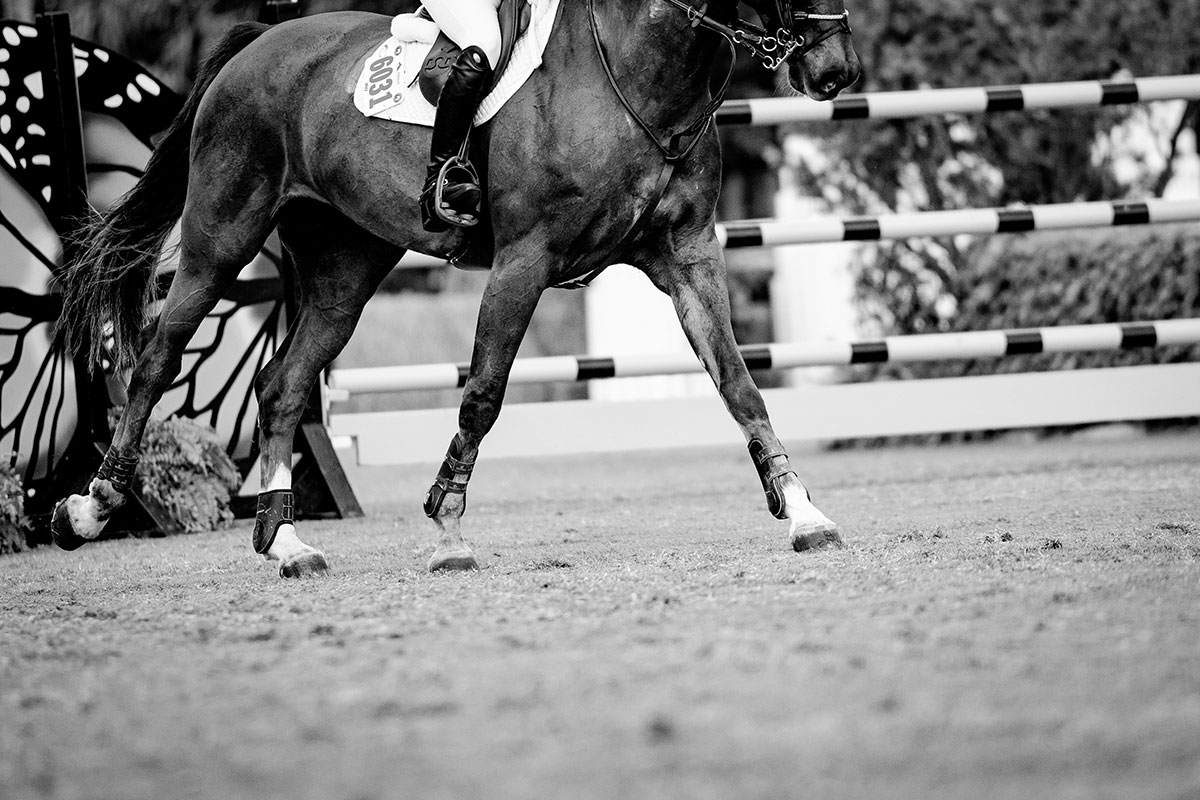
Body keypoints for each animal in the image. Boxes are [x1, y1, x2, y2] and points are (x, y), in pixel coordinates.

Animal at [52, 0, 861, 577]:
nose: (837, 71)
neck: (640, 75)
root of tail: (258, 42)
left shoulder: (689, 260)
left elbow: (740, 386)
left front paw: (804, 513)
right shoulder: (523, 262)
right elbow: (484, 394)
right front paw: (447, 531)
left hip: (345, 267)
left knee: (282, 383)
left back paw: (286, 543)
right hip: (223, 233)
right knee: (159, 356)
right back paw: (89, 509)